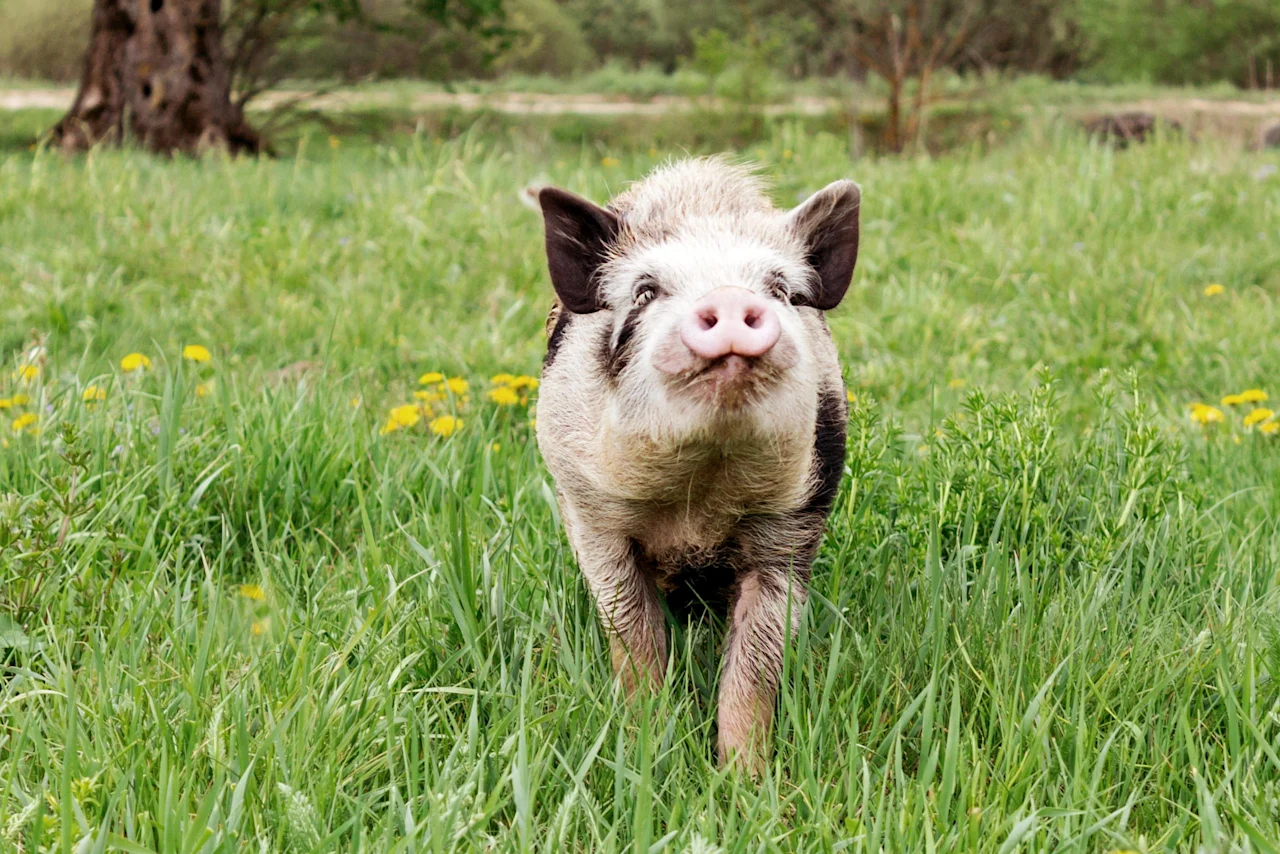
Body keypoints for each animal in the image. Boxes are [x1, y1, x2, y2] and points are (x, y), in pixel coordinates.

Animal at [533, 157, 859, 773]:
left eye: (781, 290)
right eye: (644, 292)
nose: (729, 298)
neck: (699, 497)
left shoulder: (794, 525)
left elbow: (758, 660)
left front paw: (744, 779)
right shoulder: (591, 514)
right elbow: (632, 634)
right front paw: (645, 743)